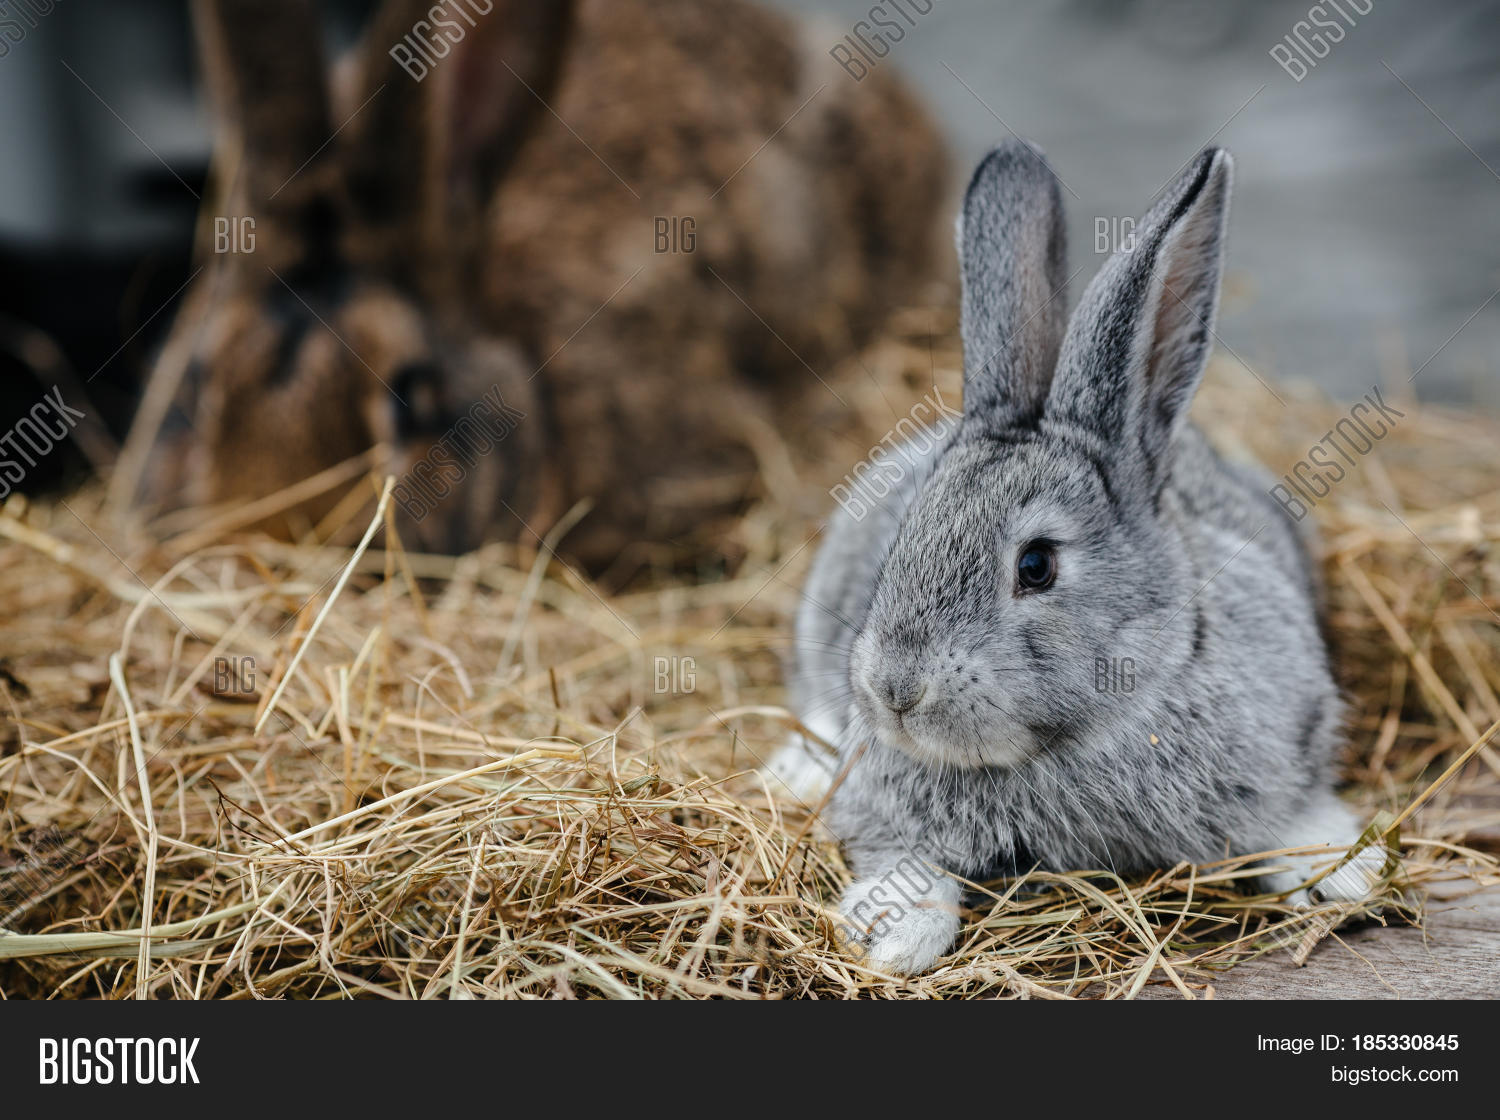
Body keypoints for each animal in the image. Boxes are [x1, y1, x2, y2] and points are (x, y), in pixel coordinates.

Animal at [769, 141, 1387, 975]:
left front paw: (1340, 873)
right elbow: (907, 861)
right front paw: (892, 936)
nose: (895, 691)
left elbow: (1294, 804)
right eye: (905, 536)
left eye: (1037, 565)